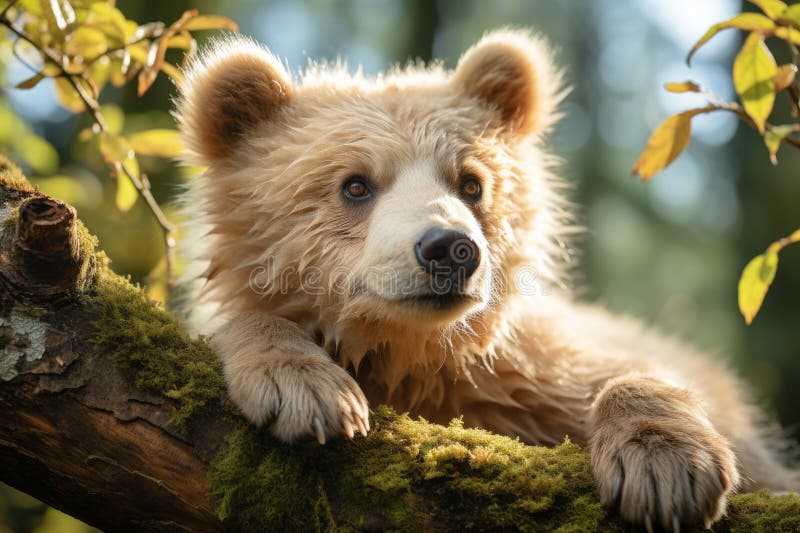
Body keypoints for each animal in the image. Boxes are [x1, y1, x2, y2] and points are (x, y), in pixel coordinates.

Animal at [175, 29, 798, 529]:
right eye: (354, 184)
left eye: (471, 182)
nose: (450, 249)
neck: (413, 355)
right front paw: (307, 387)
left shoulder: (531, 379)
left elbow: (633, 373)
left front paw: (667, 465)